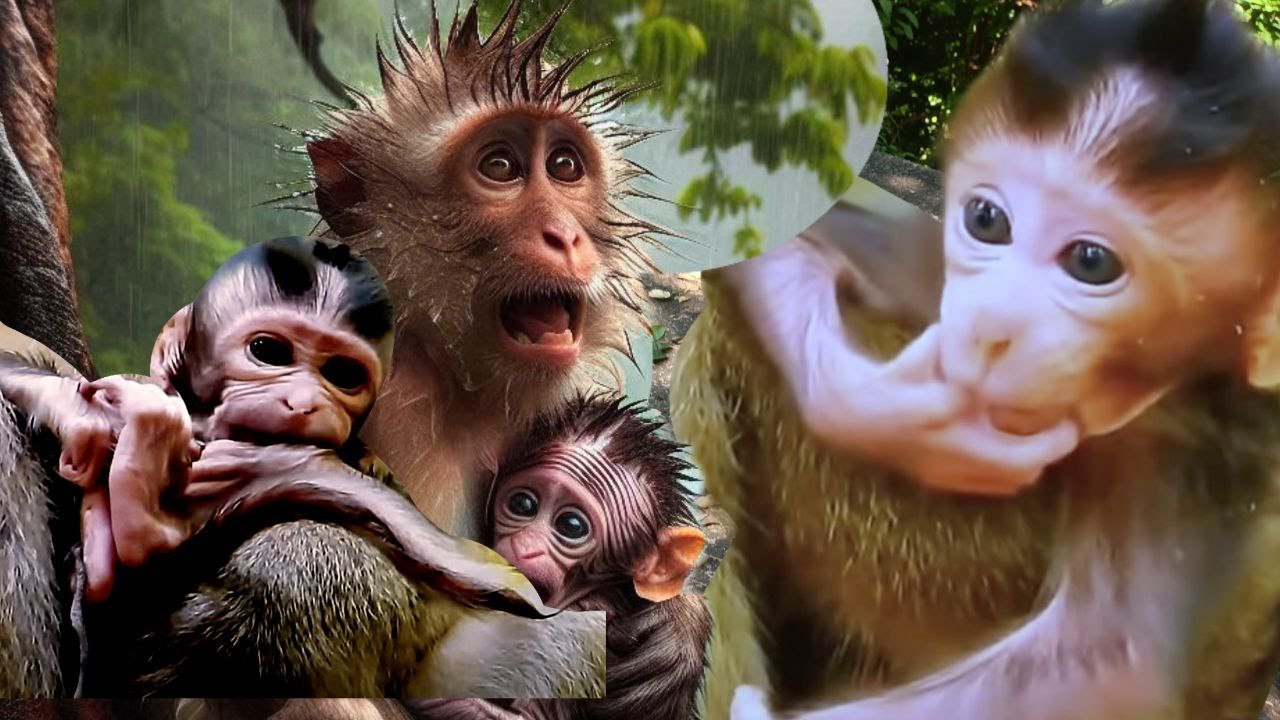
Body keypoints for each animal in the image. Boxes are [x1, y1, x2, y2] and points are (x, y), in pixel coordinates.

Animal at [668, 0, 1280, 718]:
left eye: (1091, 261)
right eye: (987, 219)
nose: (989, 326)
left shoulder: (1203, 458)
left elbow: (1115, 660)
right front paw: (863, 407)